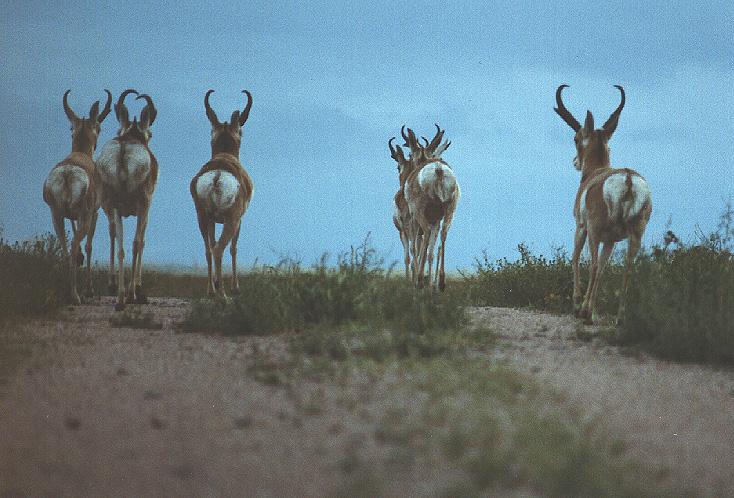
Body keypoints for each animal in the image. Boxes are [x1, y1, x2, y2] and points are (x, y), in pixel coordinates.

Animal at [43, 89, 112, 304]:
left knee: (66, 249)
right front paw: (89, 290)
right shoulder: (94, 213)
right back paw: (76, 296)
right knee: (74, 244)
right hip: (85, 216)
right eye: (99, 127)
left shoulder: (70, 216)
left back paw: (69, 291)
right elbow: (88, 246)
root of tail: (68, 172)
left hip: (56, 215)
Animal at [96, 89, 159, 311]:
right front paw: (138, 288)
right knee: (135, 243)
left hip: (112, 206)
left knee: (120, 242)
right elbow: (142, 242)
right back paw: (131, 294)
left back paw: (120, 297)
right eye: (150, 133)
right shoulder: (146, 209)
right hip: (141, 207)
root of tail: (124, 149)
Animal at [190, 90, 254, 299]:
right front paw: (236, 288)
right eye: (241, 131)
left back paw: (212, 291)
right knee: (220, 249)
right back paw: (223, 296)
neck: (225, 156)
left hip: (203, 218)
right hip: (230, 220)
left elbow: (211, 246)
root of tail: (217, 175)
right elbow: (234, 249)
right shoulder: (239, 220)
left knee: (209, 250)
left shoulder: (212, 220)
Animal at [403, 125, 459, 291]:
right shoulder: (436, 219)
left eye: (410, 153)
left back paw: (420, 280)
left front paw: (417, 279)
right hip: (449, 212)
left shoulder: (413, 217)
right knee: (444, 234)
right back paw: (441, 282)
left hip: (420, 212)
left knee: (426, 233)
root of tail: (438, 169)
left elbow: (416, 247)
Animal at [554, 84, 652, 325]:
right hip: (635, 234)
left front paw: (578, 306)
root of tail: (627, 178)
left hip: (594, 230)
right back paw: (620, 319)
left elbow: (576, 258)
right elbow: (604, 268)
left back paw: (586, 314)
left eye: (576, 138)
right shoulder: (611, 240)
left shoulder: (582, 227)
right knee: (627, 269)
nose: (575, 162)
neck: (596, 172)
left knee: (593, 264)